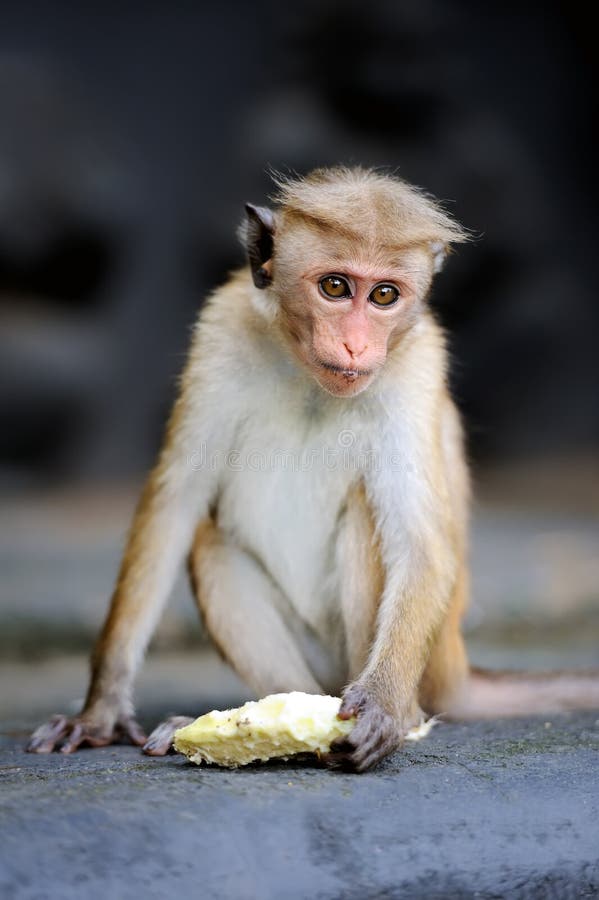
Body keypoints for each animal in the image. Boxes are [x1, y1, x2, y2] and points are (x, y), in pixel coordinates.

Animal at [27, 166, 599, 771]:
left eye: (384, 295)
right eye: (335, 287)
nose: (355, 343)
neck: (306, 375)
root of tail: (459, 673)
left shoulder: (418, 363)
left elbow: (420, 543)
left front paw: (382, 710)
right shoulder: (220, 331)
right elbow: (174, 503)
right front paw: (100, 711)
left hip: (421, 667)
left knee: (365, 516)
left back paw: (386, 716)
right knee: (210, 542)